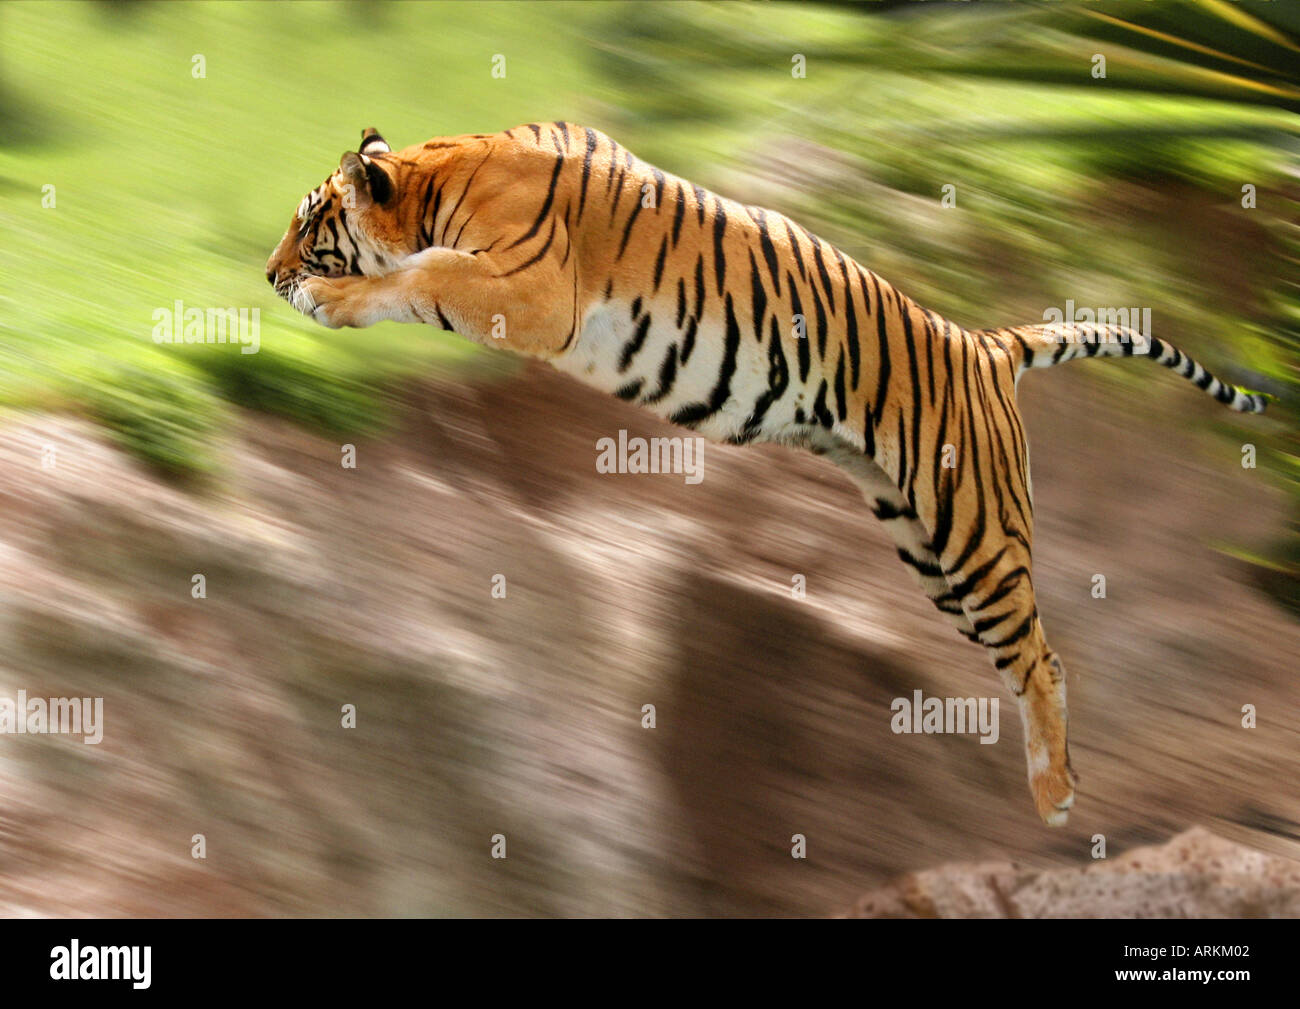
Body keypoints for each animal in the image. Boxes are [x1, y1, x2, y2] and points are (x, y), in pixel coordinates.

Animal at [266, 123, 1268, 825]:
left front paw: (331, 298)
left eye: (309, 223)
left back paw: (1055, 794)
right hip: (928, 551)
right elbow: (421, 277)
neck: (441, 175)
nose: (269, 274)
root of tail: (983, 344)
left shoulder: (531, 291)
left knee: (1045, 655)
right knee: (1023, 650)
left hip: (975, 535)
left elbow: (419, 277)